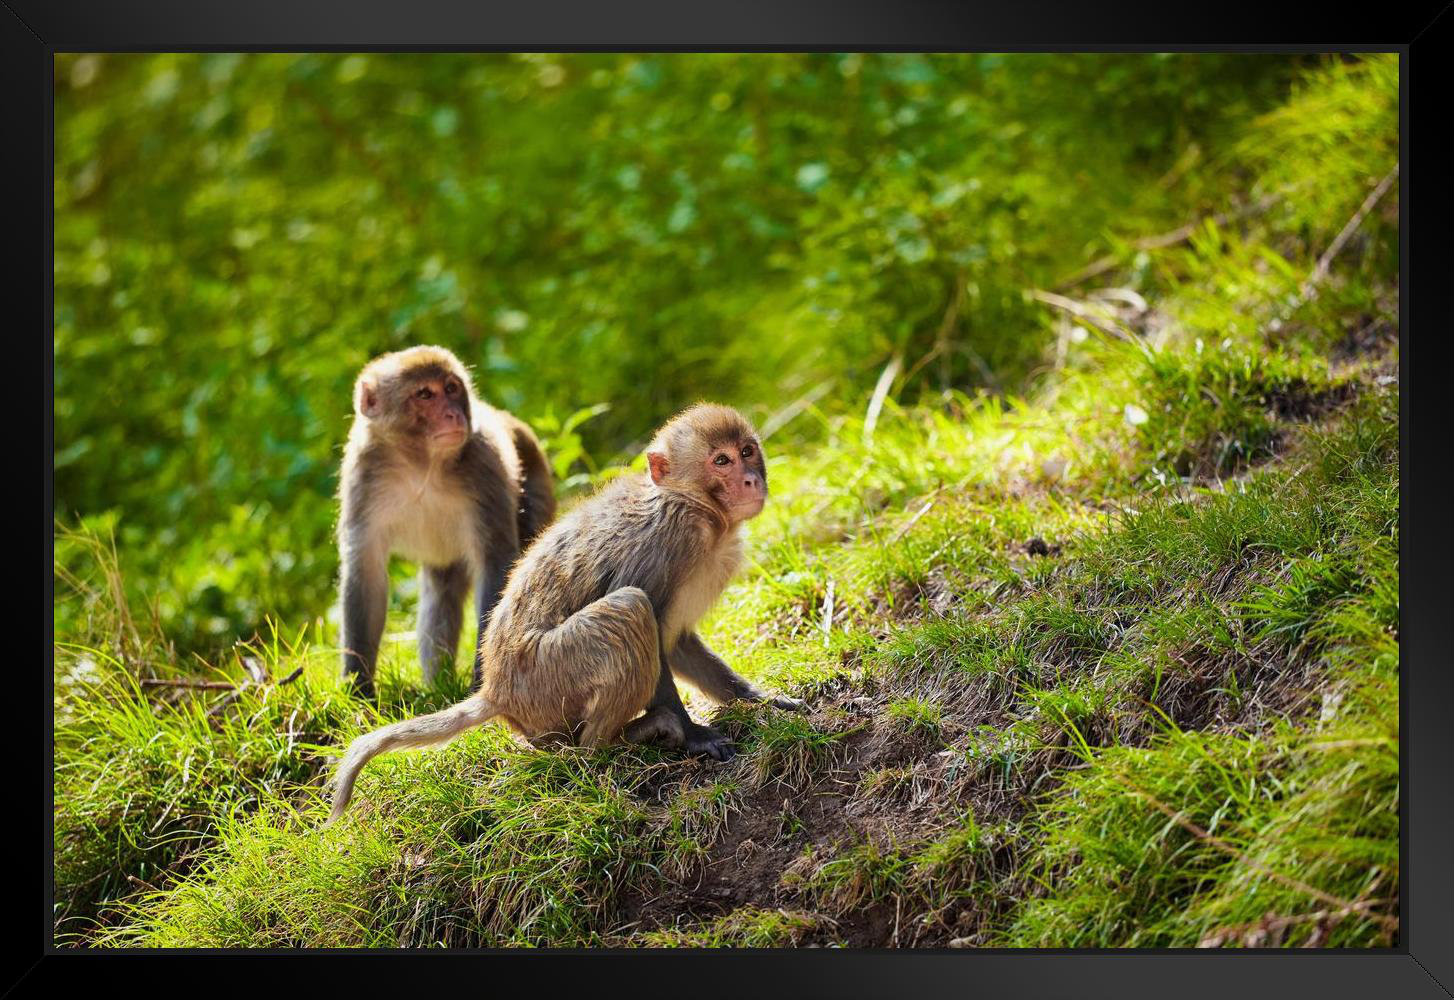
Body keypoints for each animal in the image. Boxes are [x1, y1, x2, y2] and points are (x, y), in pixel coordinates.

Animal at [327, 402, 804, 822]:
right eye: (721, 460)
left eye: (747, 451)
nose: (750, 479)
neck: (701, 510)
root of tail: (496, 691)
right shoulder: (670, 541)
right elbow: (650, 619)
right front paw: (693, 735)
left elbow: (676, 642)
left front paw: (756, 699)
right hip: (546, 676)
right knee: (629, 611)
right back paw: (616, 743)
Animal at [336, 345, 556, 698]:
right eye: (425, 394)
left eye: (452, 389)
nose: (454, 414)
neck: (421, 463)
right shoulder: (363, 473)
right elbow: (365, 571)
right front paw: (359, 687)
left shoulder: (485, 464)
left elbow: (495, 563)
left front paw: (483, 679)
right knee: (442, 592)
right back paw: (438, 683)